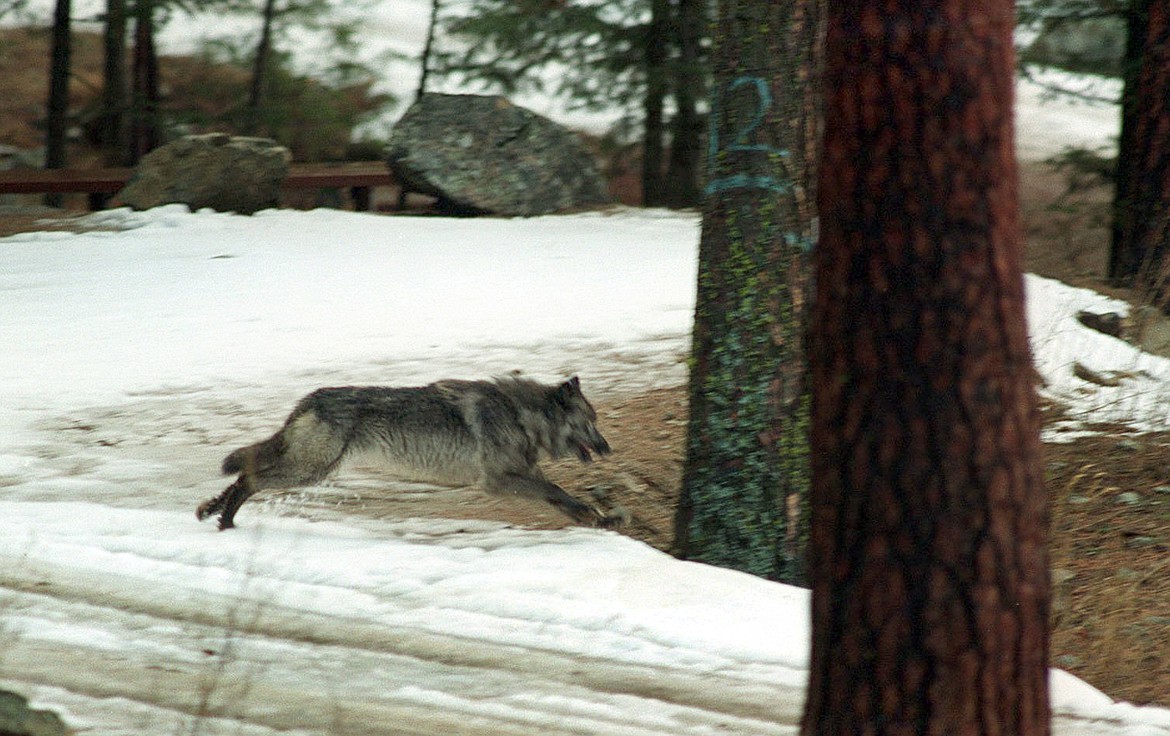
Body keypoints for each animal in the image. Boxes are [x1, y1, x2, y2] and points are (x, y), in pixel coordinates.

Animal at [196, 375, 619, 530]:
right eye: (590, 422)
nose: (607, 448)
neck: (520, 415)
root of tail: (307, 400)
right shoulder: (498, 481)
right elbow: (557, 491)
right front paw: (596, 516)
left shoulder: (521, 475)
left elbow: (561, 498)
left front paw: (598, 518)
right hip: (309, 471)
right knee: (250, 478)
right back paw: (226, 521)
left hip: (310, 468)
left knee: (245, 471)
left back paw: (211, 510)